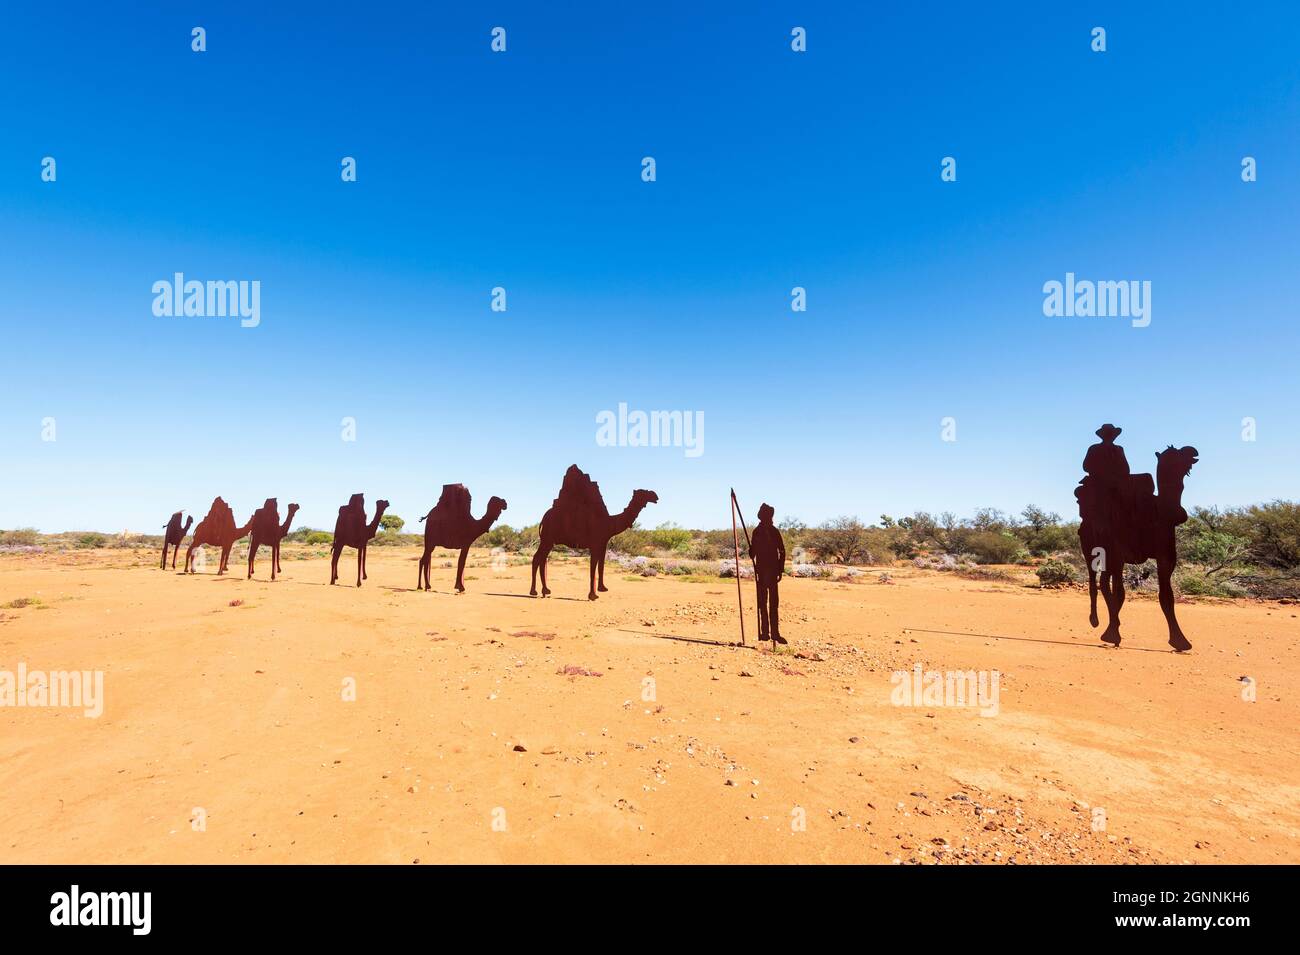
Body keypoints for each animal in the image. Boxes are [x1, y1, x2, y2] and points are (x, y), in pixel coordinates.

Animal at [530, 465, 658, 600]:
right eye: (643, 492)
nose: (655, 495)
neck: (610, 522)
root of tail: (544, 517)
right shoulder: (595, 543)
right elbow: (593, 567)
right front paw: (592, 595)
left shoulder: (603, 544)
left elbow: (601, 565)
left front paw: (602, 589)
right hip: (547, 539)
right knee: (537, 558)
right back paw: (534, 591)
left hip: (549, 540)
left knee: (542, 559)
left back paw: (545, 591)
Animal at [1077, 444, 1199, 651]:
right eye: (1170, 457)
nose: (1192, 451)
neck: (1157, 512)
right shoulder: (1118, 552)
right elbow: (1119, 591)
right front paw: (1112, 634)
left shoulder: (1166, 555)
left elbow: (1166, 595)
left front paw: (1179, 641)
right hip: (1091, 547)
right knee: (1096, 581)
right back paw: (1096, 621)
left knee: (1104, 582)